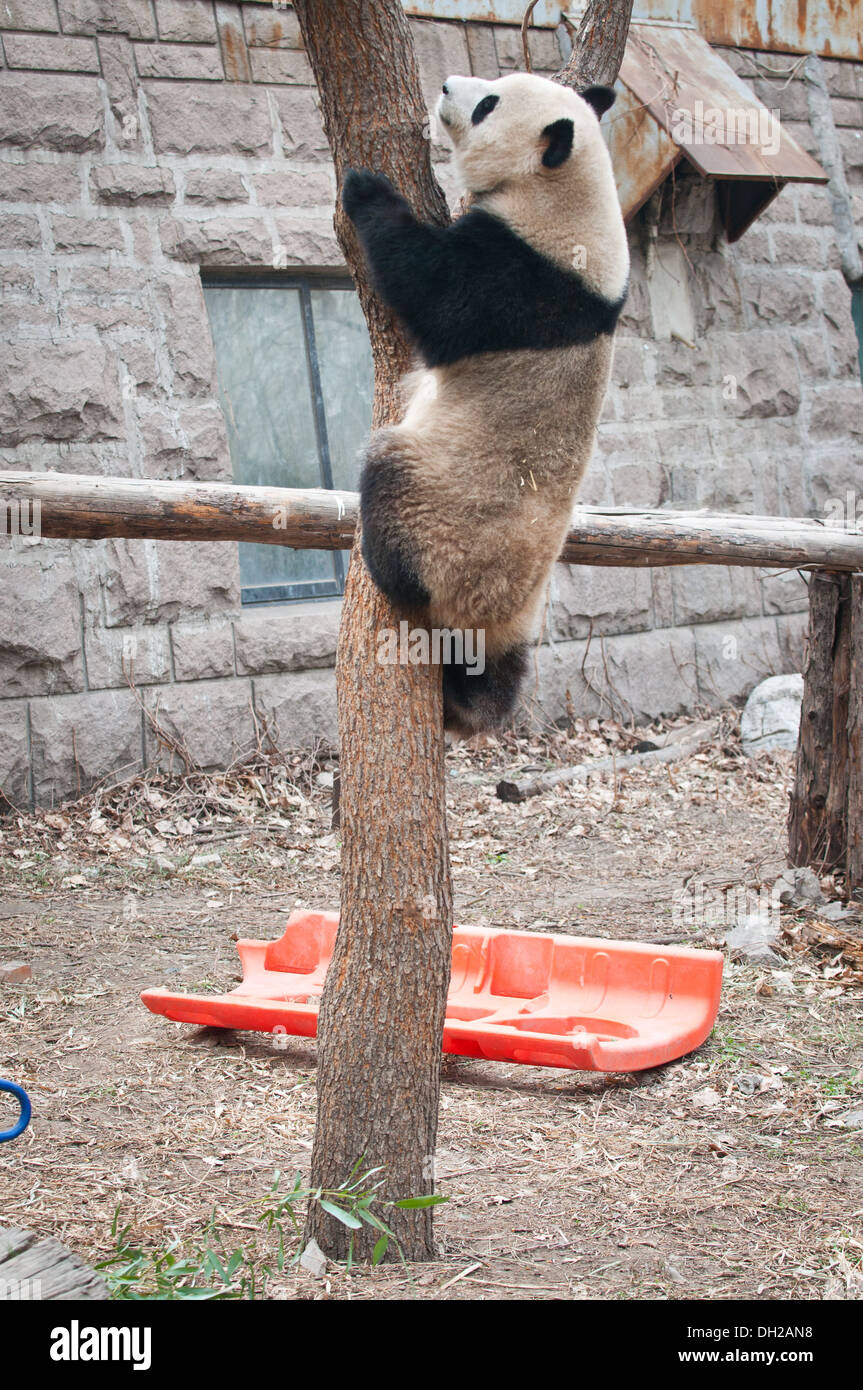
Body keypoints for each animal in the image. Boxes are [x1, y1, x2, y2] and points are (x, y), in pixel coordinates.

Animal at [342, 71, 629, 735]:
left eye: (489, 103)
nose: (448, 85)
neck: (569, 188)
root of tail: (489, 618)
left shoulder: (525, 271)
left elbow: (435, 294)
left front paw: (366, 187)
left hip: (448, 513)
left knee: (393, 481)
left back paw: (387, 568)